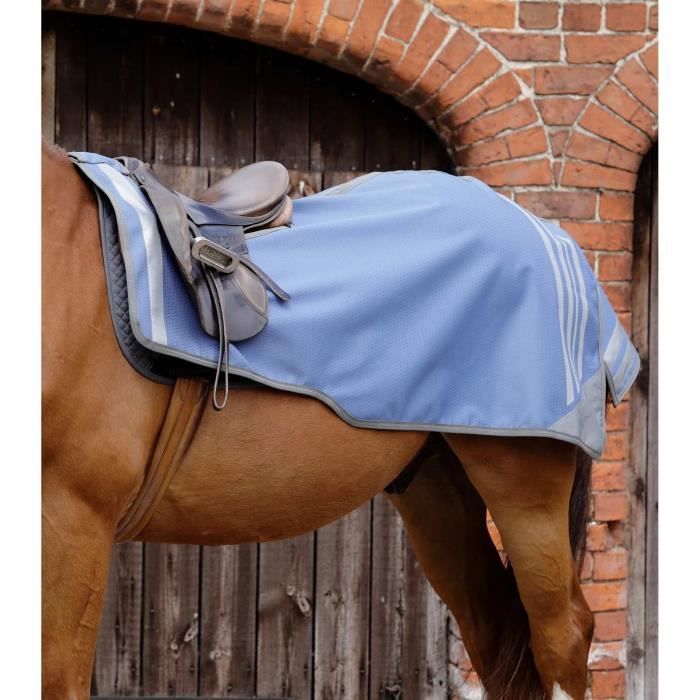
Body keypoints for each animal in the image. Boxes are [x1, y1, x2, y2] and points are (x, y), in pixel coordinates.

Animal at [42, 141, 596, 700]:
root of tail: (553, 239)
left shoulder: (72, 516)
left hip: (524, 484)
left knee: (562, 635)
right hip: (436, 487)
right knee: (496, 631)